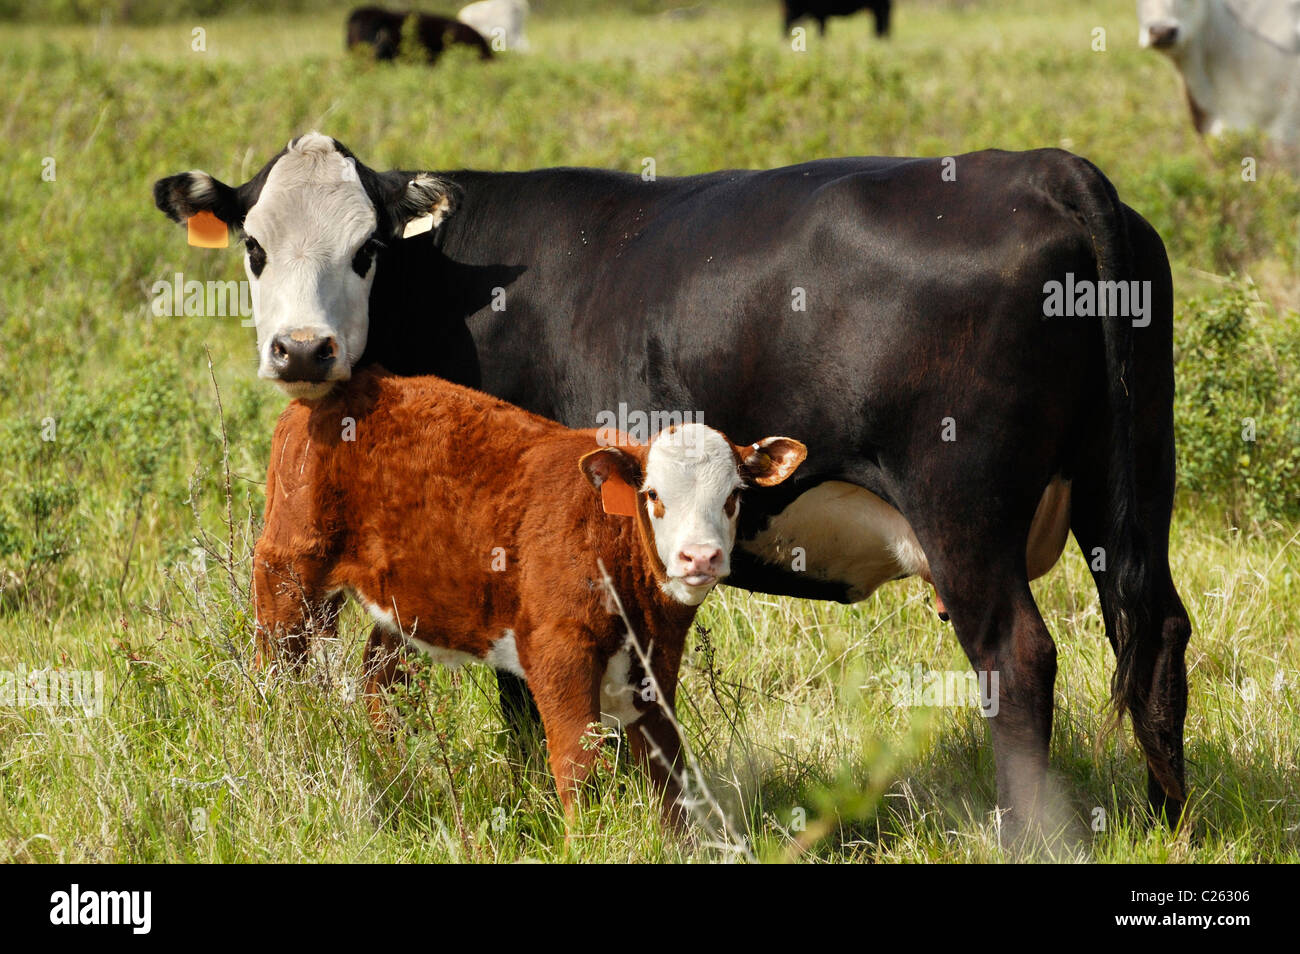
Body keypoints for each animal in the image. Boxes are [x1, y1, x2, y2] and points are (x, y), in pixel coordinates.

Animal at [253, 364, 805, 824]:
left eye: (734, 496)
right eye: (653, 496)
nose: (699, 557)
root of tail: (357, 383)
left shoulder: (657, 659)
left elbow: (667, 766)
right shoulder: (557, 649)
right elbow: (578, 762)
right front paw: (587, 841)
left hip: (405, 602)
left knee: (380, 679)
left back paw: (399, 769)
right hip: (289, 564)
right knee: (277, 667)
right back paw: (279, 747)